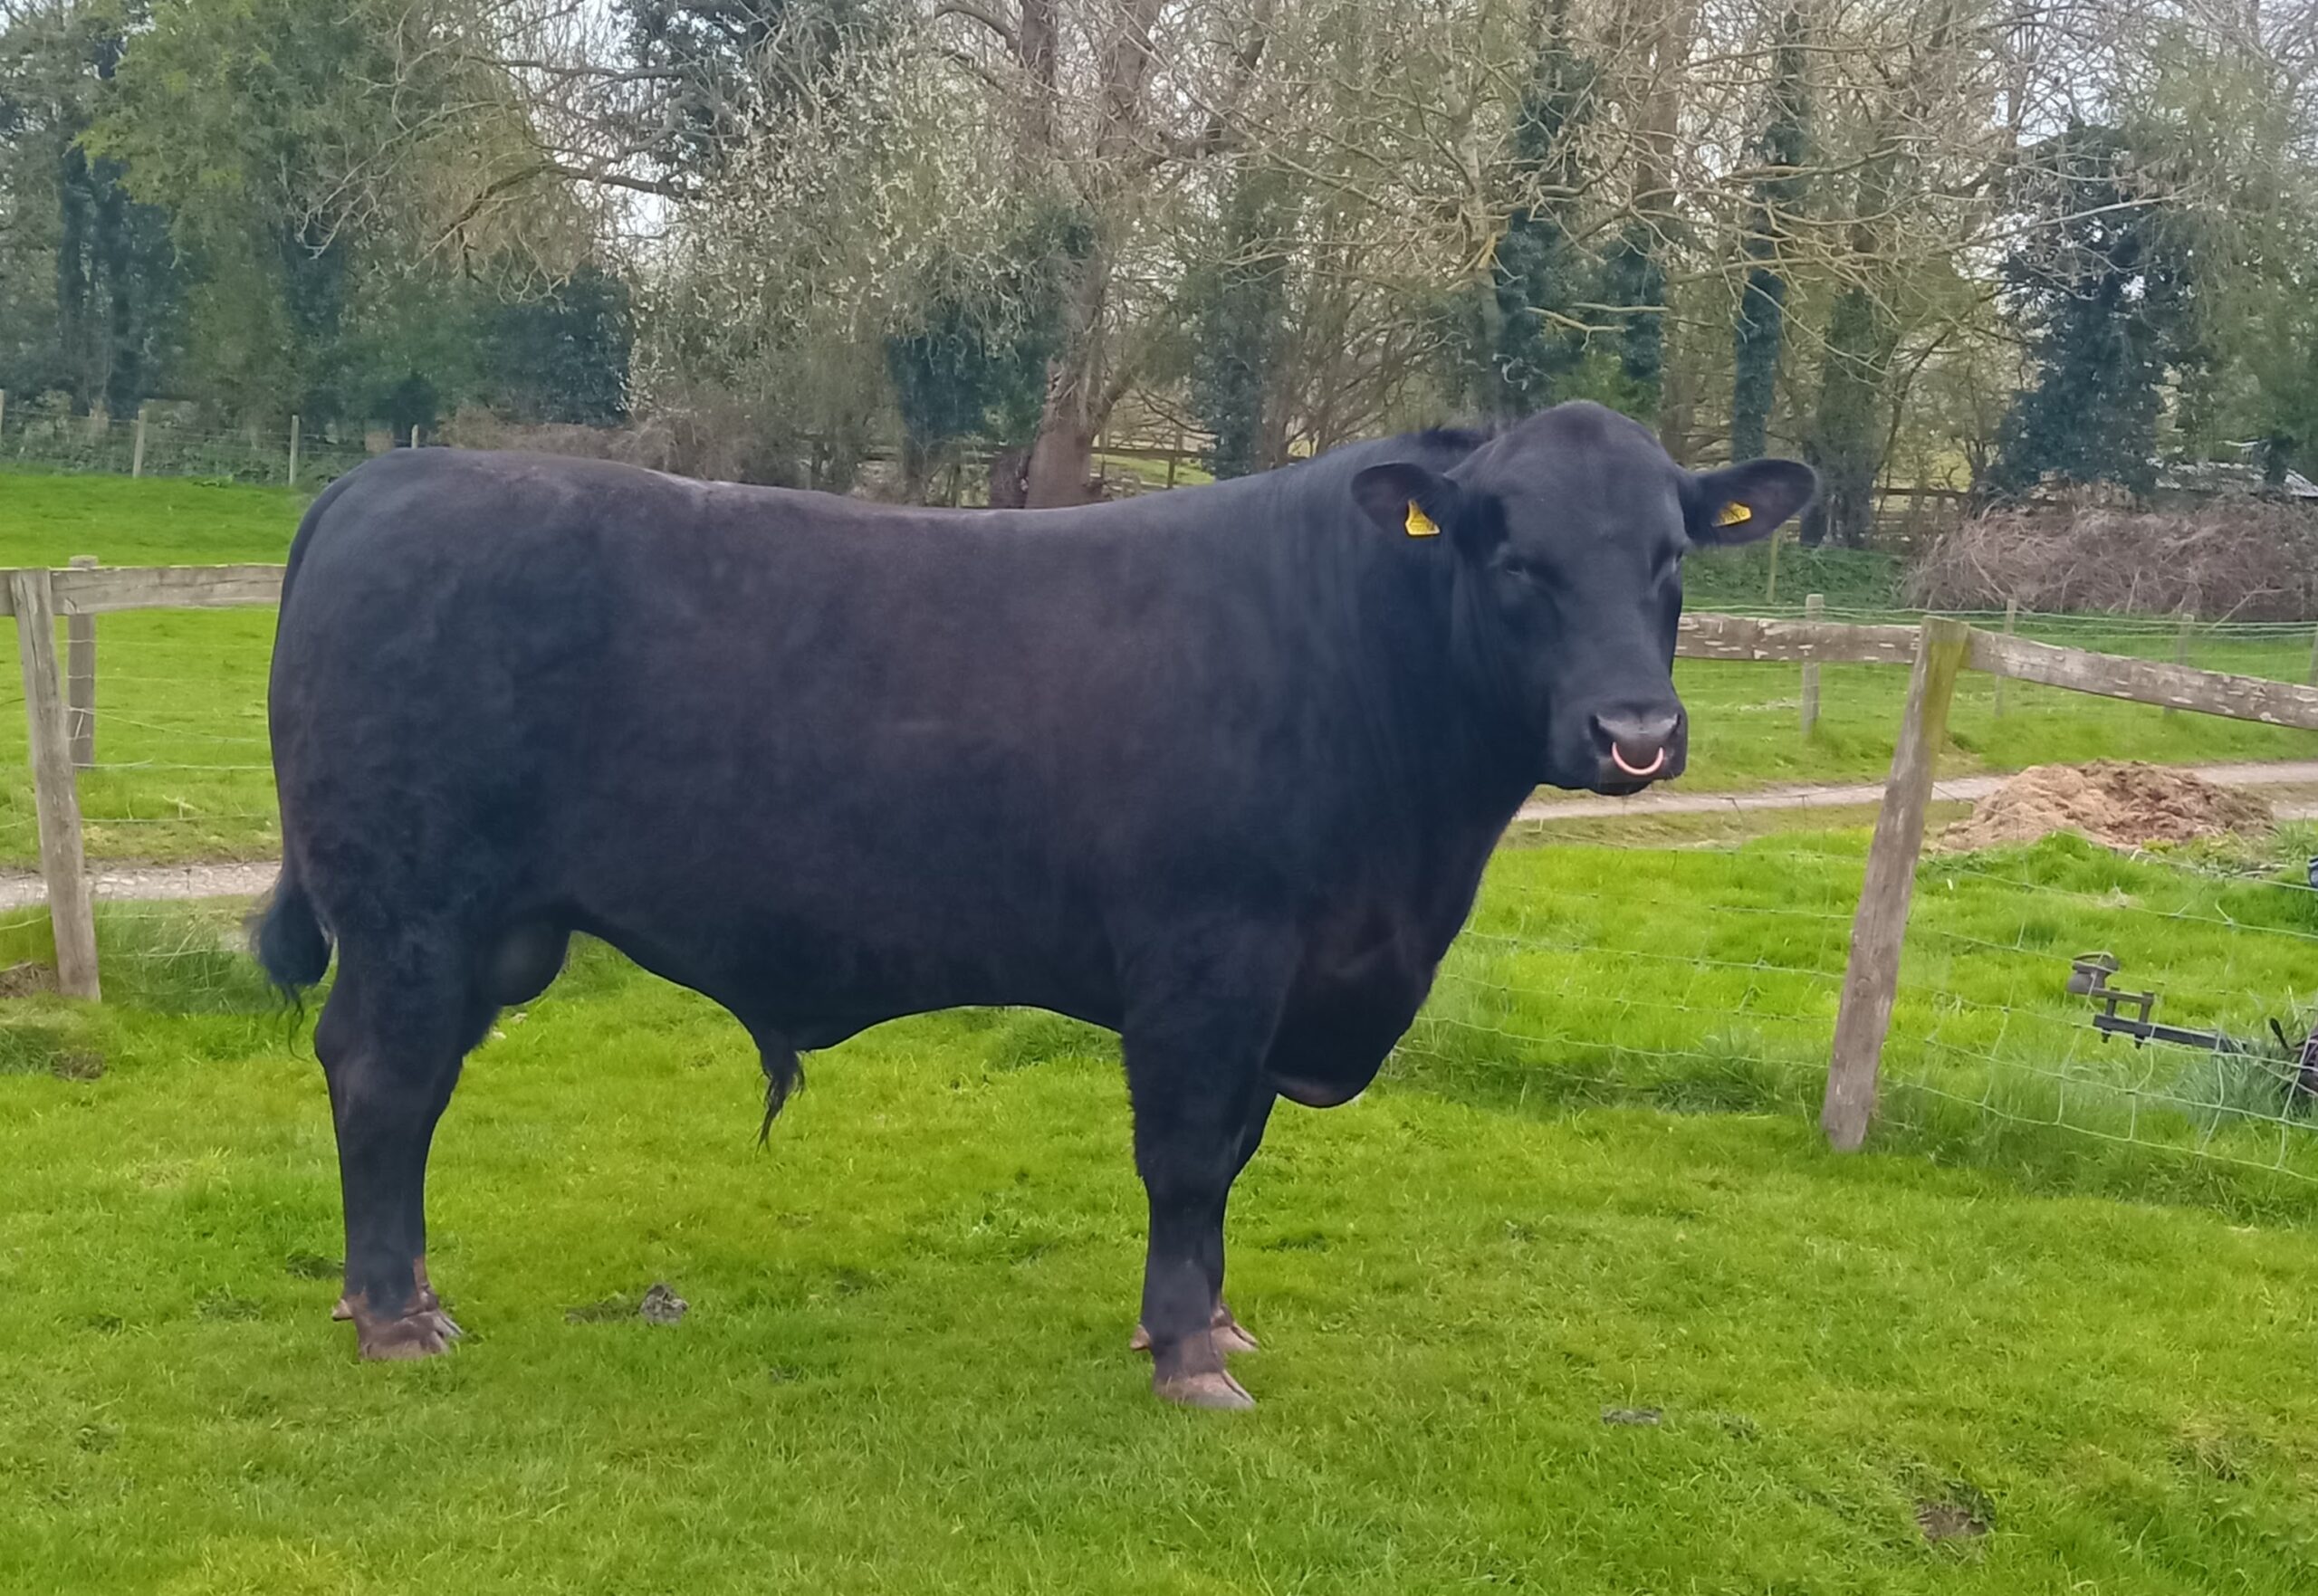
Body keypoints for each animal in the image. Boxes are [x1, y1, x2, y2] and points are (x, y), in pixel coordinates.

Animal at [254, 401, 1814, 1408]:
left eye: (1672, 560)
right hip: (411, 907)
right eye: (1513, 559)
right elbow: (1185, 1156)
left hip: (470, 927)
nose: (1636, 733)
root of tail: (383, 484)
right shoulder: (1208, 956)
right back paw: (393, 1314)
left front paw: (1217, 1322)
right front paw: (1186, 1354)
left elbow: (1232, 1157)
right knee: (383, 1081)